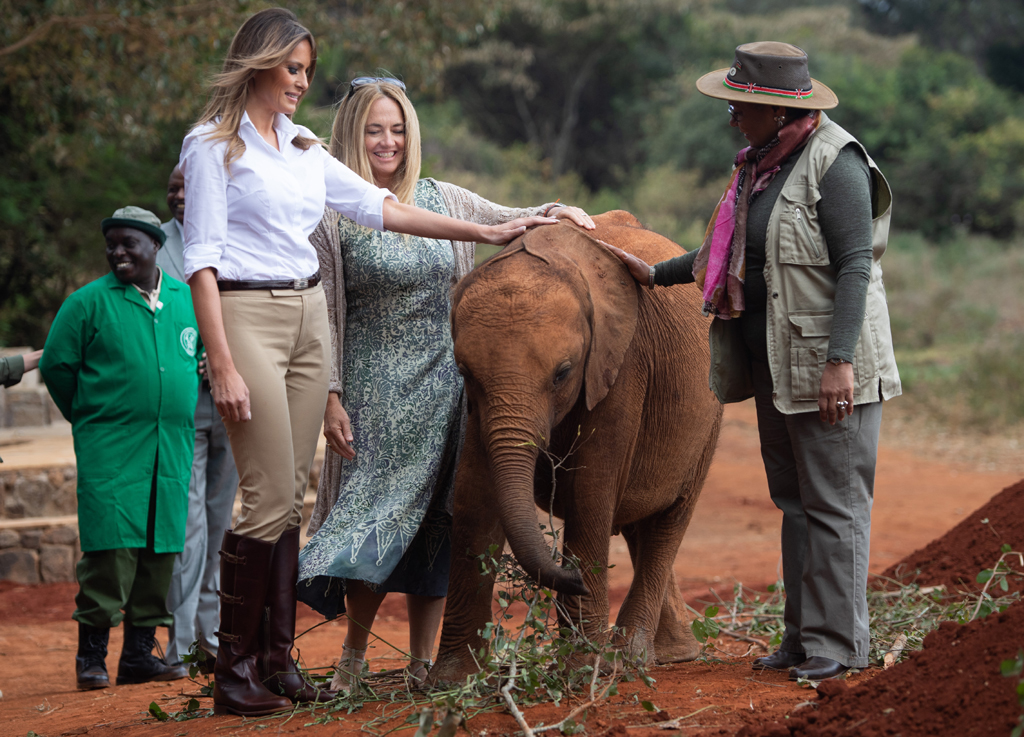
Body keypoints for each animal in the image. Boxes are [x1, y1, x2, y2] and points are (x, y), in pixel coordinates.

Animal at [429, 211, 723, 686]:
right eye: (464, 371)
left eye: (563, 373)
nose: (574, 577)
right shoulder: (477, 405)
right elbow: (474, 495)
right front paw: (451, 682)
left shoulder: (622, 363)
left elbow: (590, 490)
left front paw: (583, 670)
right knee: (639, 522)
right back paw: (670, 655)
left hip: (708, 417)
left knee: (668, 520)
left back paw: (632, 657)